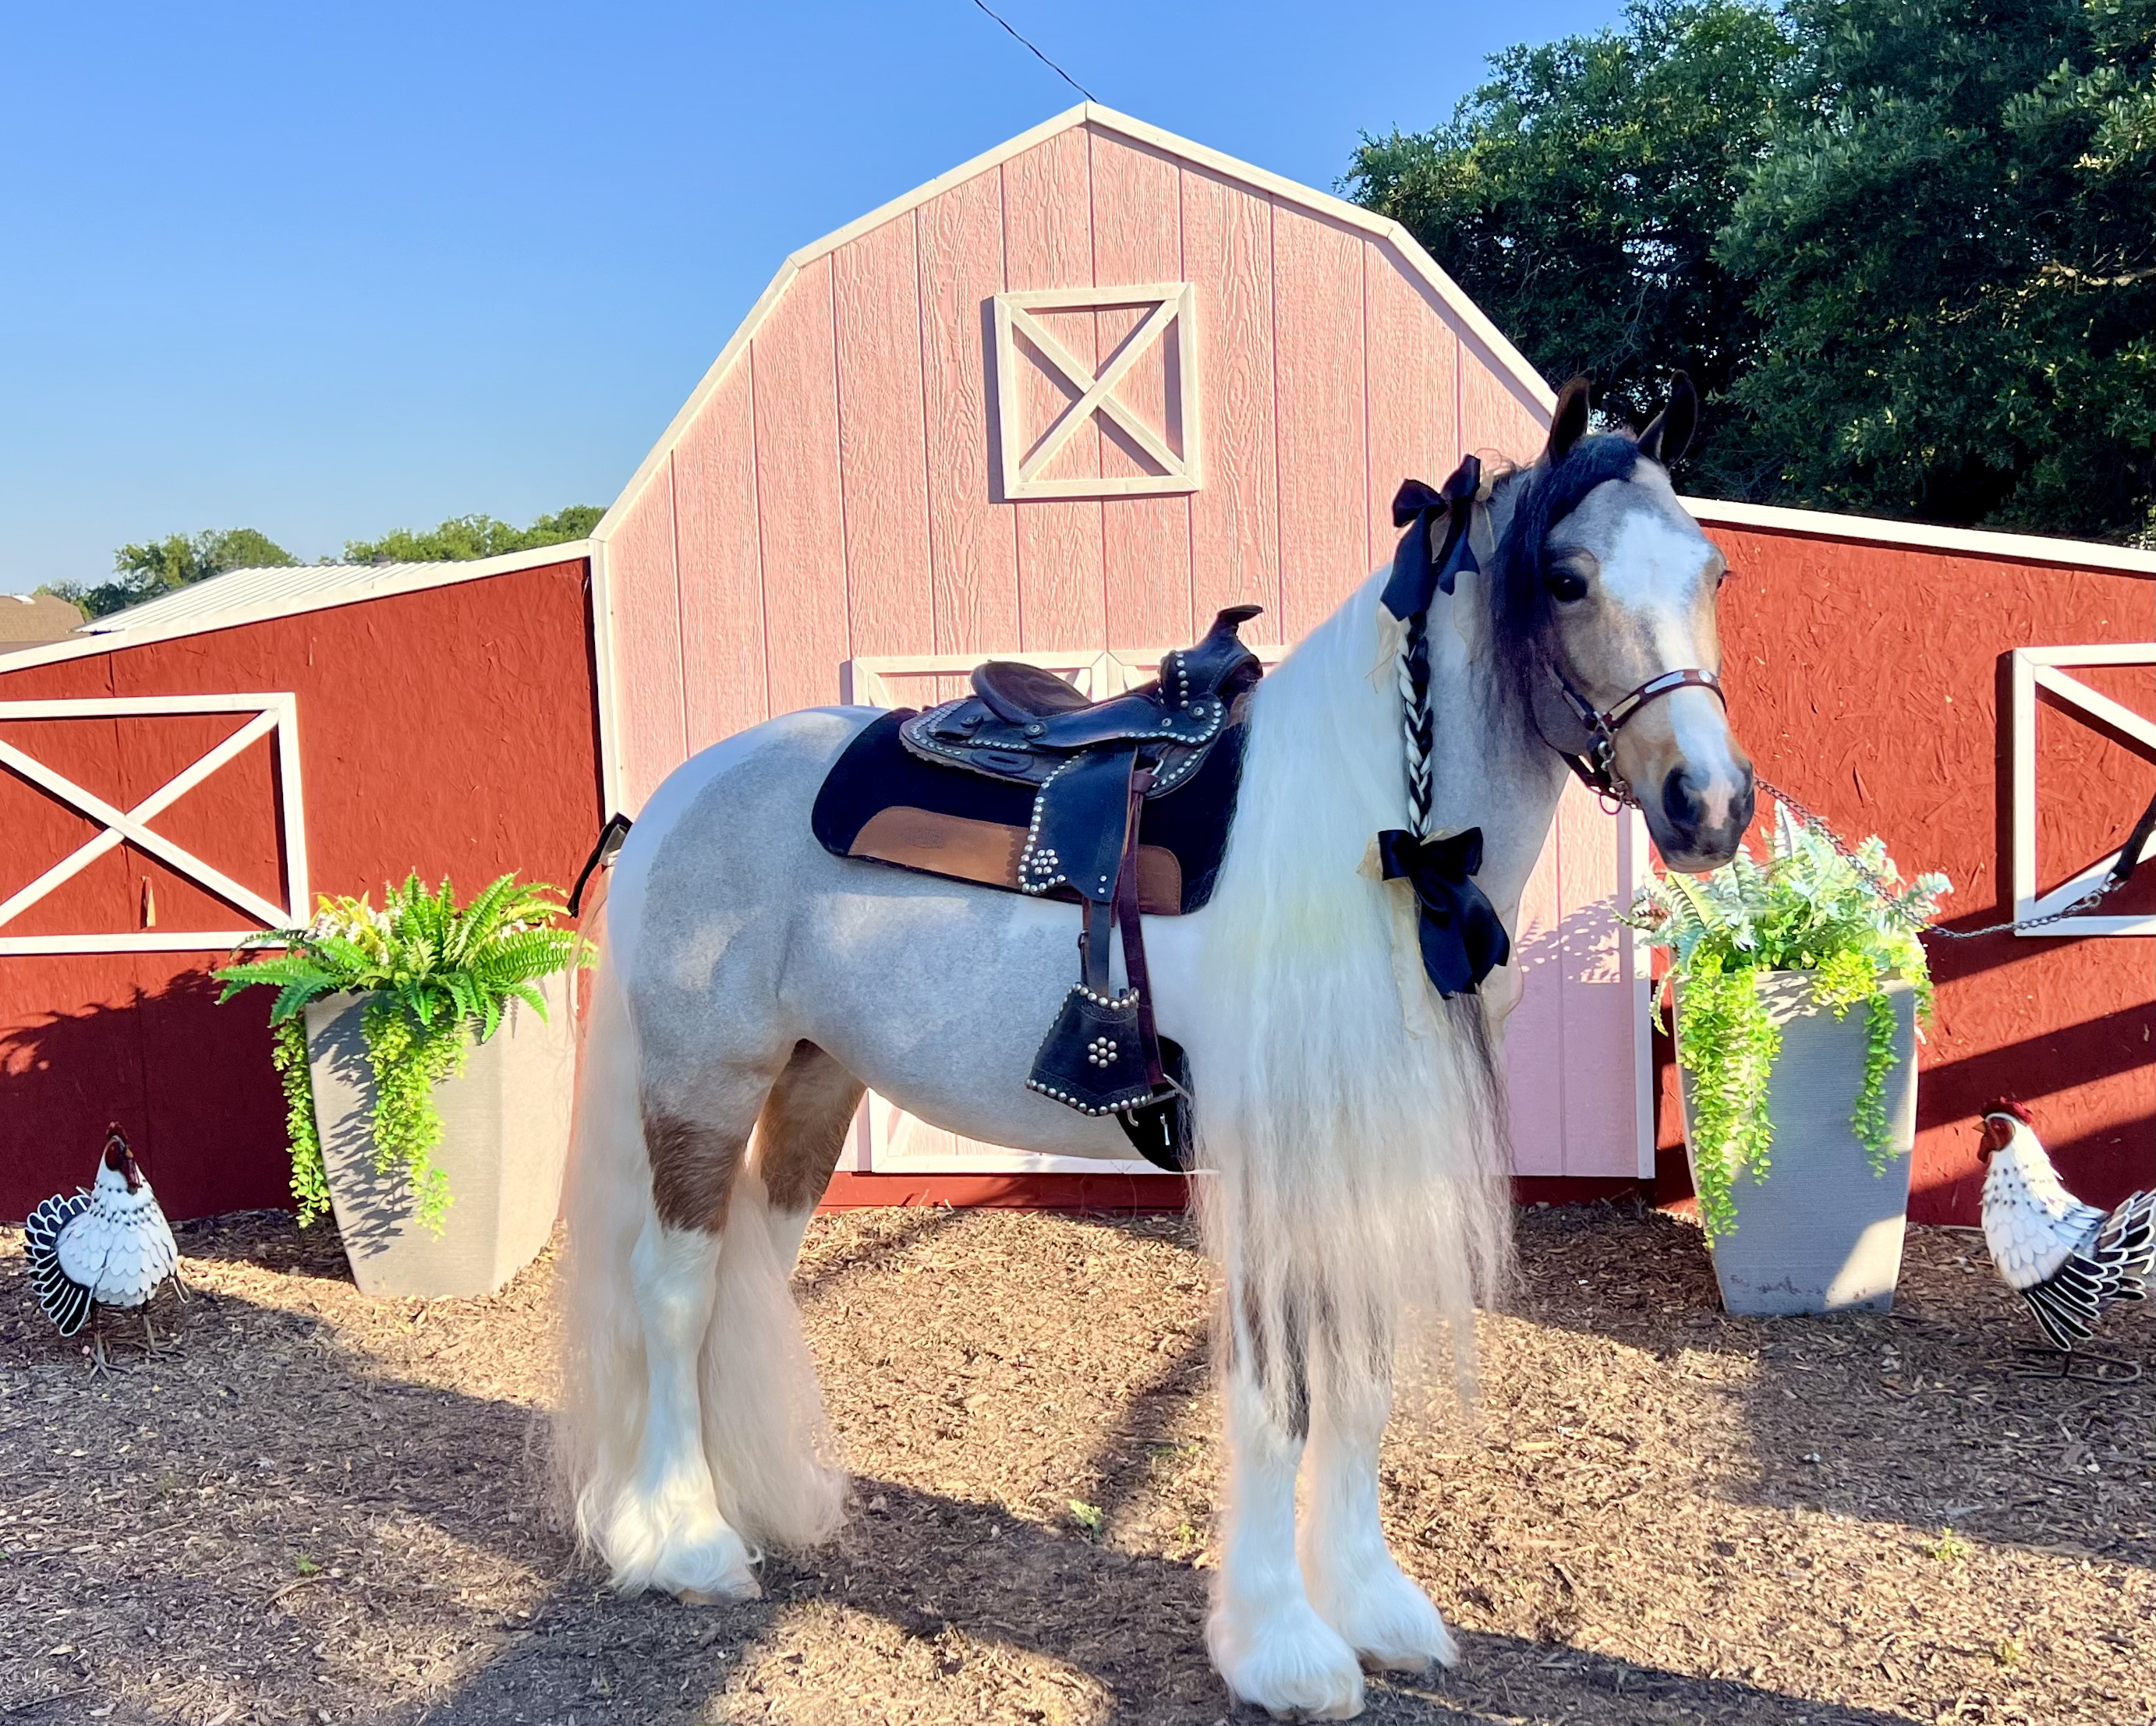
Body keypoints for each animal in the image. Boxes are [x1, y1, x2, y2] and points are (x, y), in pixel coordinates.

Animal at [554, 374, 1754, 1720]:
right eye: (1565, 577)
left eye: (1712, 569)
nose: (1711, 803)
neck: (1382, 849)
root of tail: (681, 794)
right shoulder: (1269, 1158)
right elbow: (1274, 1392)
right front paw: (1282, 1646)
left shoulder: (1364, 1151)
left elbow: (1360, 1375)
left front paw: (1371, 1604)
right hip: (701, 1085)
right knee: (673, 1292)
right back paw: (682, 1538)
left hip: (814, 1081)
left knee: (746, 1275)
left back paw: (765, 1502)